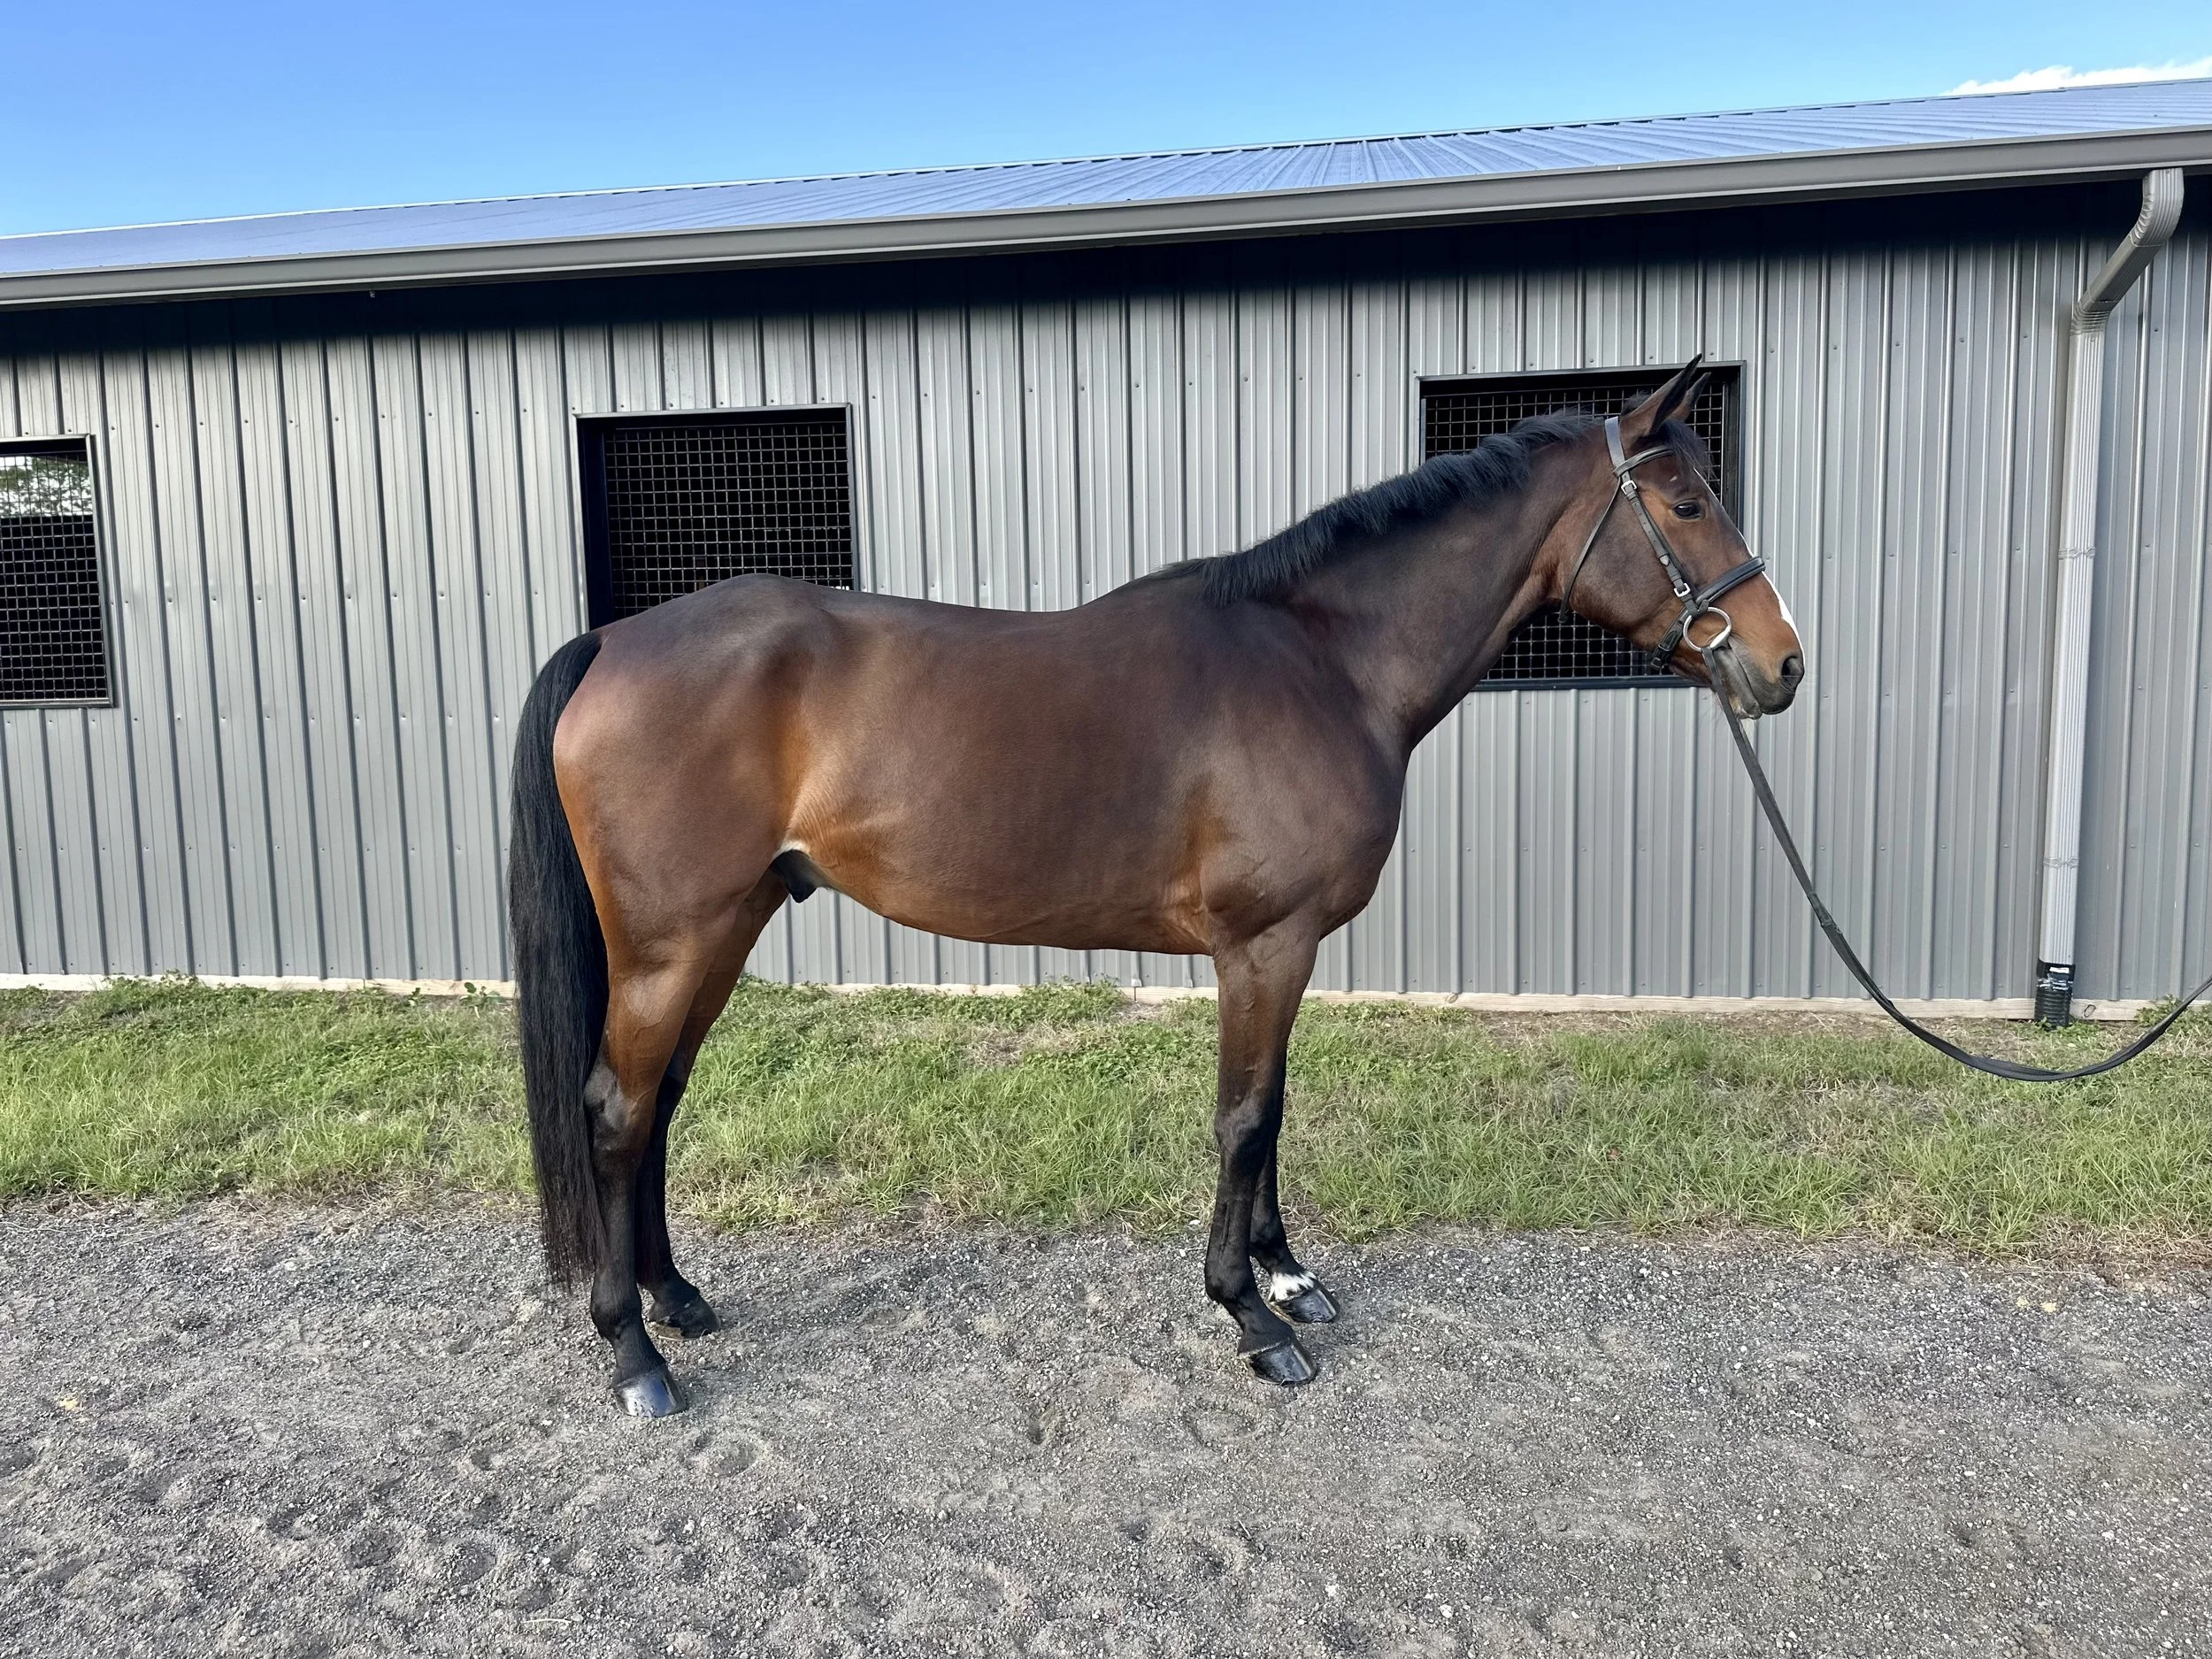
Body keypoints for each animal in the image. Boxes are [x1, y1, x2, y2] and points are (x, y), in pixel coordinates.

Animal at [506, 358, 1805, 1417]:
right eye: (1687, 503)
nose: (1783, 663)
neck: (1324, 660)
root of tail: (614, 640)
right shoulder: (1262, 944)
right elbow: (1243, 1119)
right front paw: (1253, 1317)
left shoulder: (1288, 949)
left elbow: (1273, 1108)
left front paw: (1289, 1271)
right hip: (672, 942)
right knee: (617, 1110)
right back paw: (636, 1356)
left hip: (725, 926)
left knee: (660, 1101)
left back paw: (678, 1299)